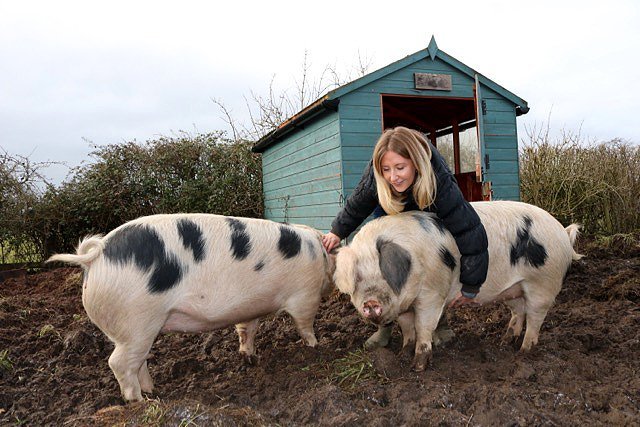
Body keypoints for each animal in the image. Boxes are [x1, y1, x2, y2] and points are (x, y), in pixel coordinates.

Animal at [47, 213, 334, 401]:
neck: (318, 252)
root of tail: (96, 257)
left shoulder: (250, 307)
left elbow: (246, 329)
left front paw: (249, 356)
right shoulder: (305, 295)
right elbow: (304, 323)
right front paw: (315, 346)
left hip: (138, 330)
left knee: (137, 361)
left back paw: (153, 391)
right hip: (137, 321)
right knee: (118, 363)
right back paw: (138, 402)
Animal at [334, 201, 583, 371]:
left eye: (383, 272)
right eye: (357, 278)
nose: (370, 302)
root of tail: (562, 231)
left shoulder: (432, 293)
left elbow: (423, 326)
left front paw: (418, 366)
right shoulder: (403, 304)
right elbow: (407, 328)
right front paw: (403, 355)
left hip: (543, 284)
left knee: (535, 319)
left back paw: (524, 352)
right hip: (515, 289)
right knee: (519, 313)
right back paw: (504, 342)